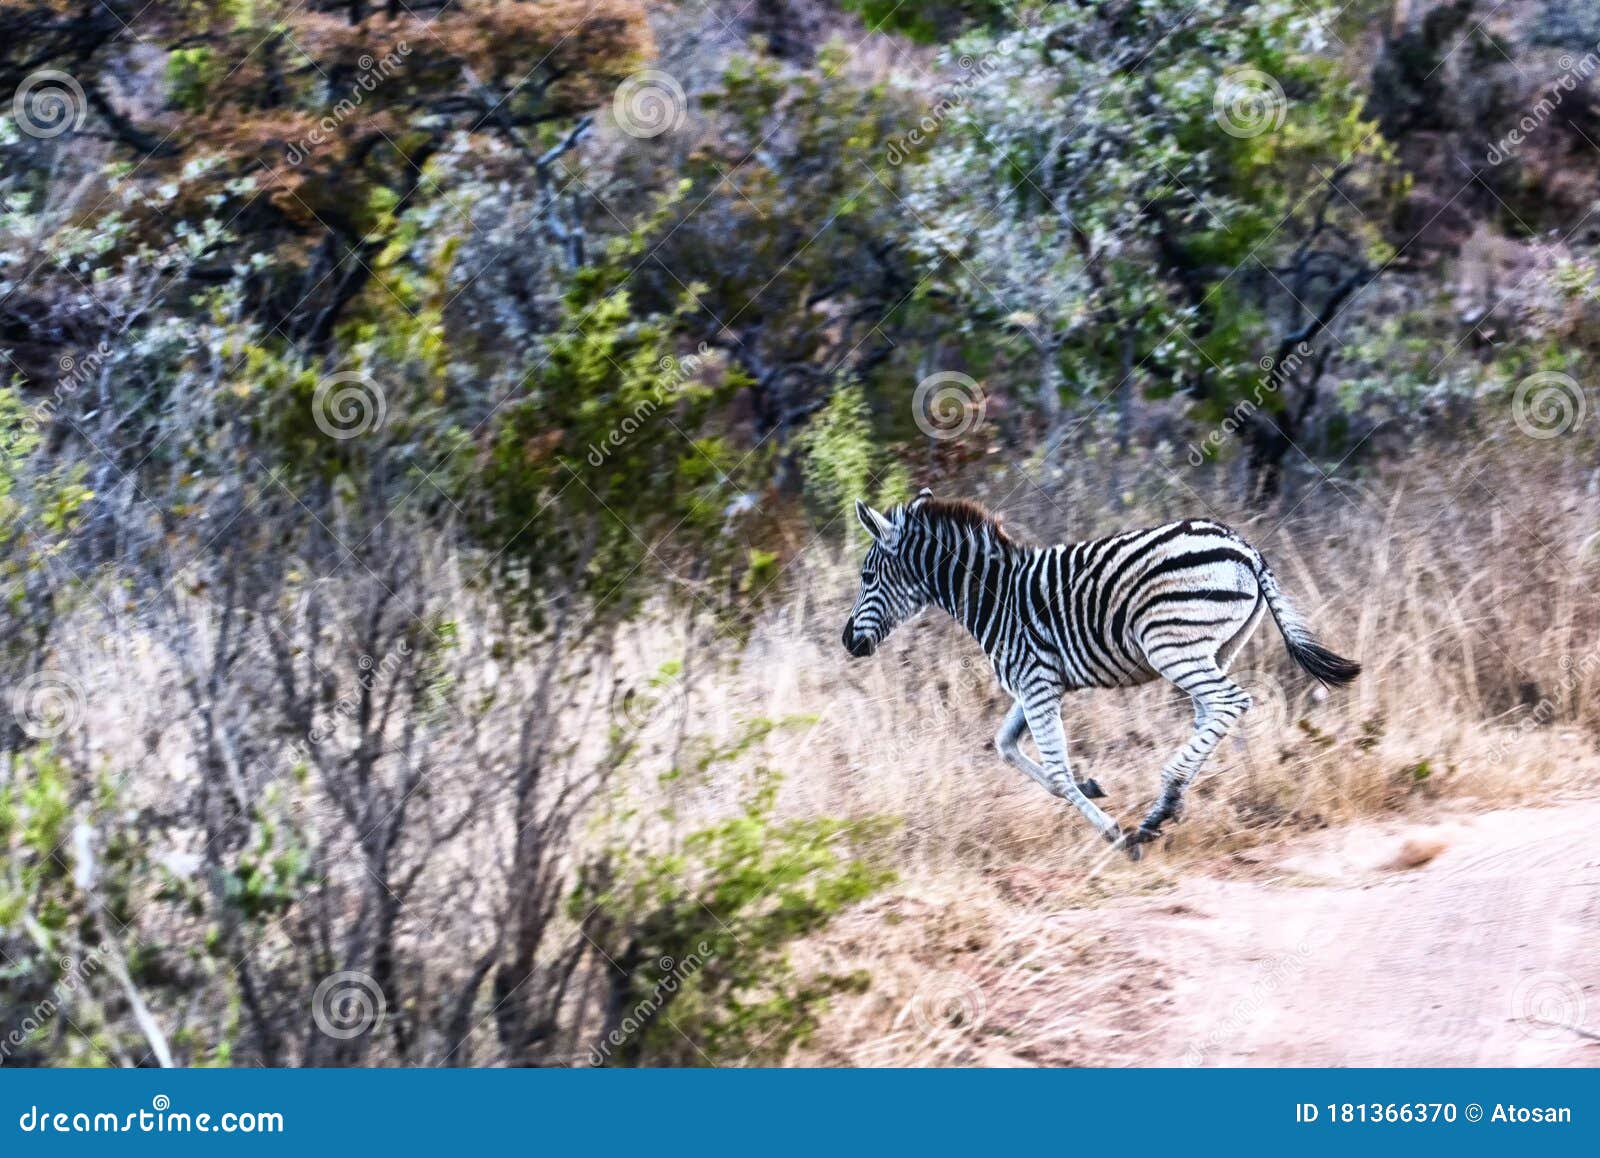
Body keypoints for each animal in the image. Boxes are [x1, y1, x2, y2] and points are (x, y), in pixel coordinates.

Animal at [841, 489, 1360, 860]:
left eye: (867, 577)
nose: (848, 642)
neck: (994, 596)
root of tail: (1245, 549)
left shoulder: (1036, 683)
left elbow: (1054, 770)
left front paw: (1114, 833)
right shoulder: (1037, 685)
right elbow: (1008, 748)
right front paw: (1092, 787)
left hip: (1172, 644)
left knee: (1229, 702)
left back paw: (1160, 805)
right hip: (1216, 648)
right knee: (1211, 712)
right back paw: (1169, 803)